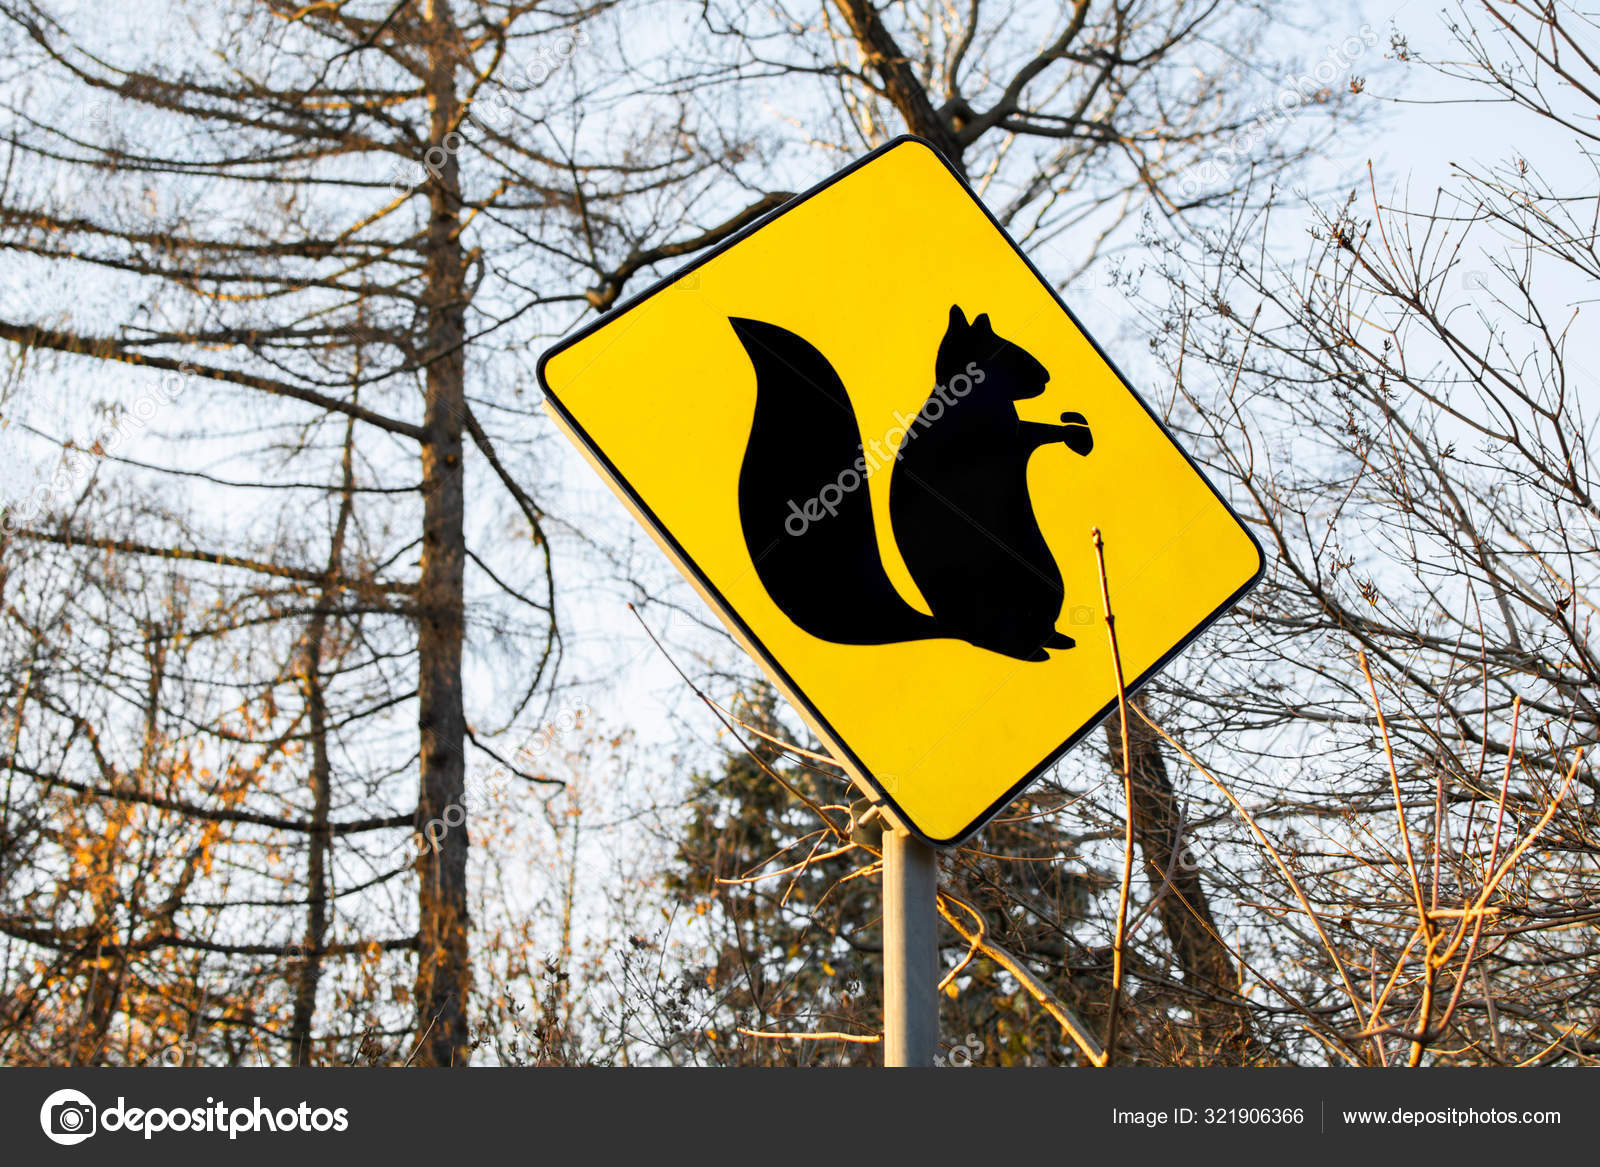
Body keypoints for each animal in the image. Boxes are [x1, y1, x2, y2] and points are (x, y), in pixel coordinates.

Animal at [731, 305, 1093, 663]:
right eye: (1008, 351)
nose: (1047, 377)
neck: (968, 393)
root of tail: (955, 629)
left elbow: (1038, 429)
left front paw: (1077, 432)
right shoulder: (1005, 440)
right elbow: (1036, 433)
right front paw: (1075, 434)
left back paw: (1060, 641)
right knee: (1013, 645)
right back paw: (1040, 651)